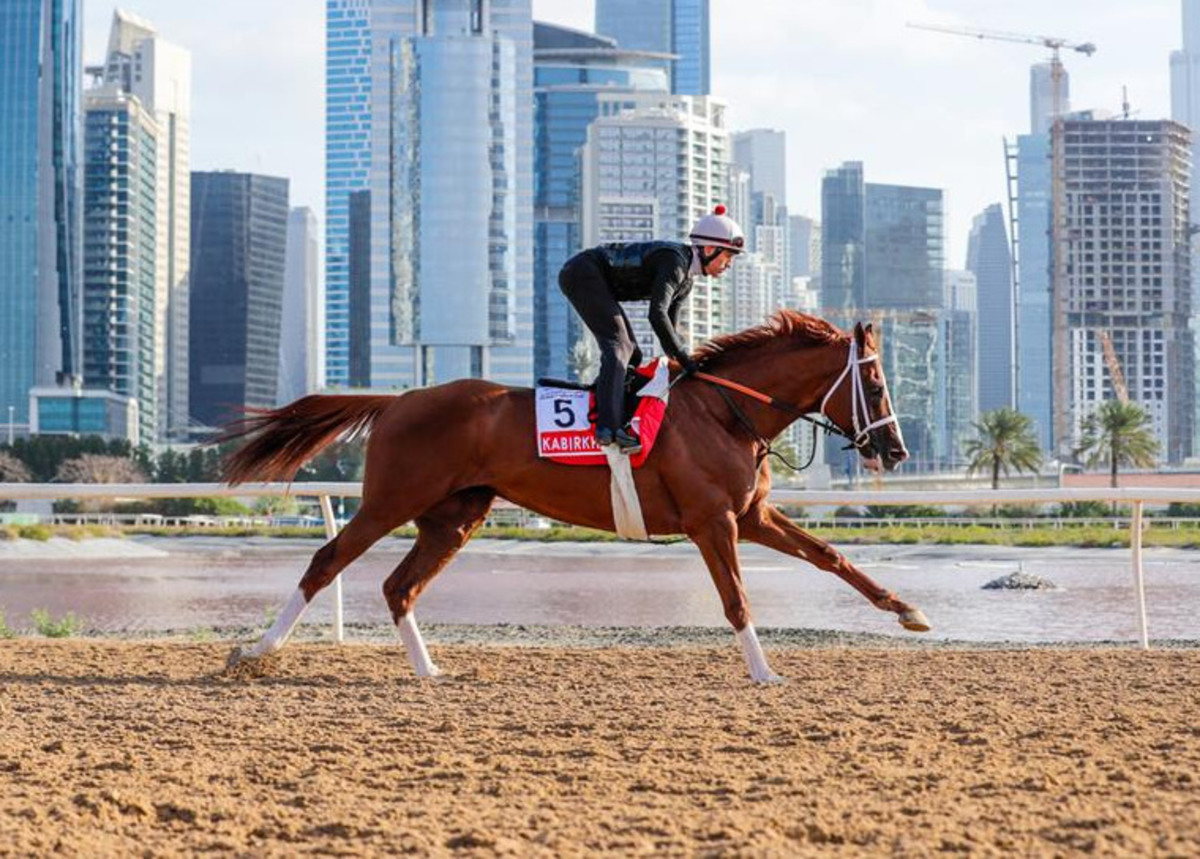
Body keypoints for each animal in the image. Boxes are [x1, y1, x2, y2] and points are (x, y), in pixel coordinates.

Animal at [221, 310, 928, 683]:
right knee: (327, 562)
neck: (726, 412)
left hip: (454, 517)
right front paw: (763, 671)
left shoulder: (750, 515)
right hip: (390, 501)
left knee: (401, 586)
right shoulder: (713, 522)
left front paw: (909, 612)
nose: (895, 450)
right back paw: (256, 651)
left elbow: (832, 557)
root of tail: (398, 399)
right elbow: (736, 600)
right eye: (874, 382)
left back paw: (428, 670)